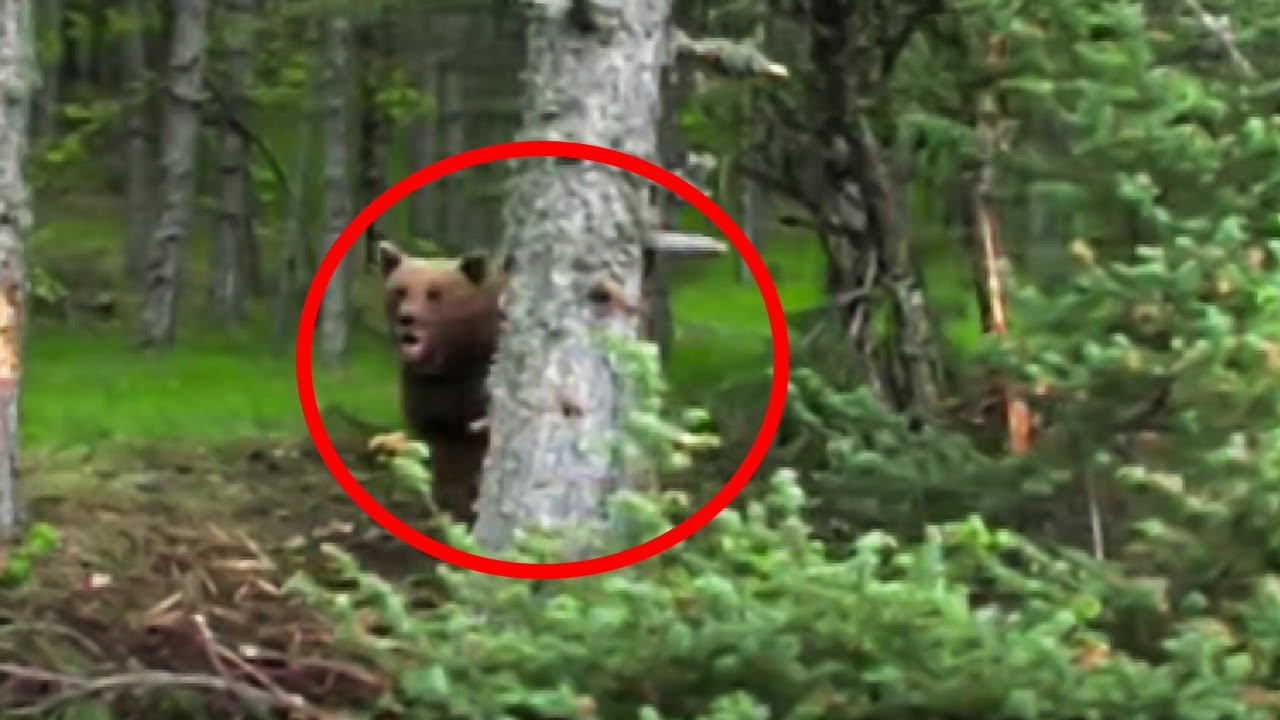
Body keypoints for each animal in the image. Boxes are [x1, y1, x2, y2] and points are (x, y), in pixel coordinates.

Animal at [371, 241, 509, 525]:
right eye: (401, 290)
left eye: (434, 294)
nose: (407, 318)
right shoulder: (432, 396)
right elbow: (446, 458)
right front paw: (450, 514)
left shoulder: (477, 390)